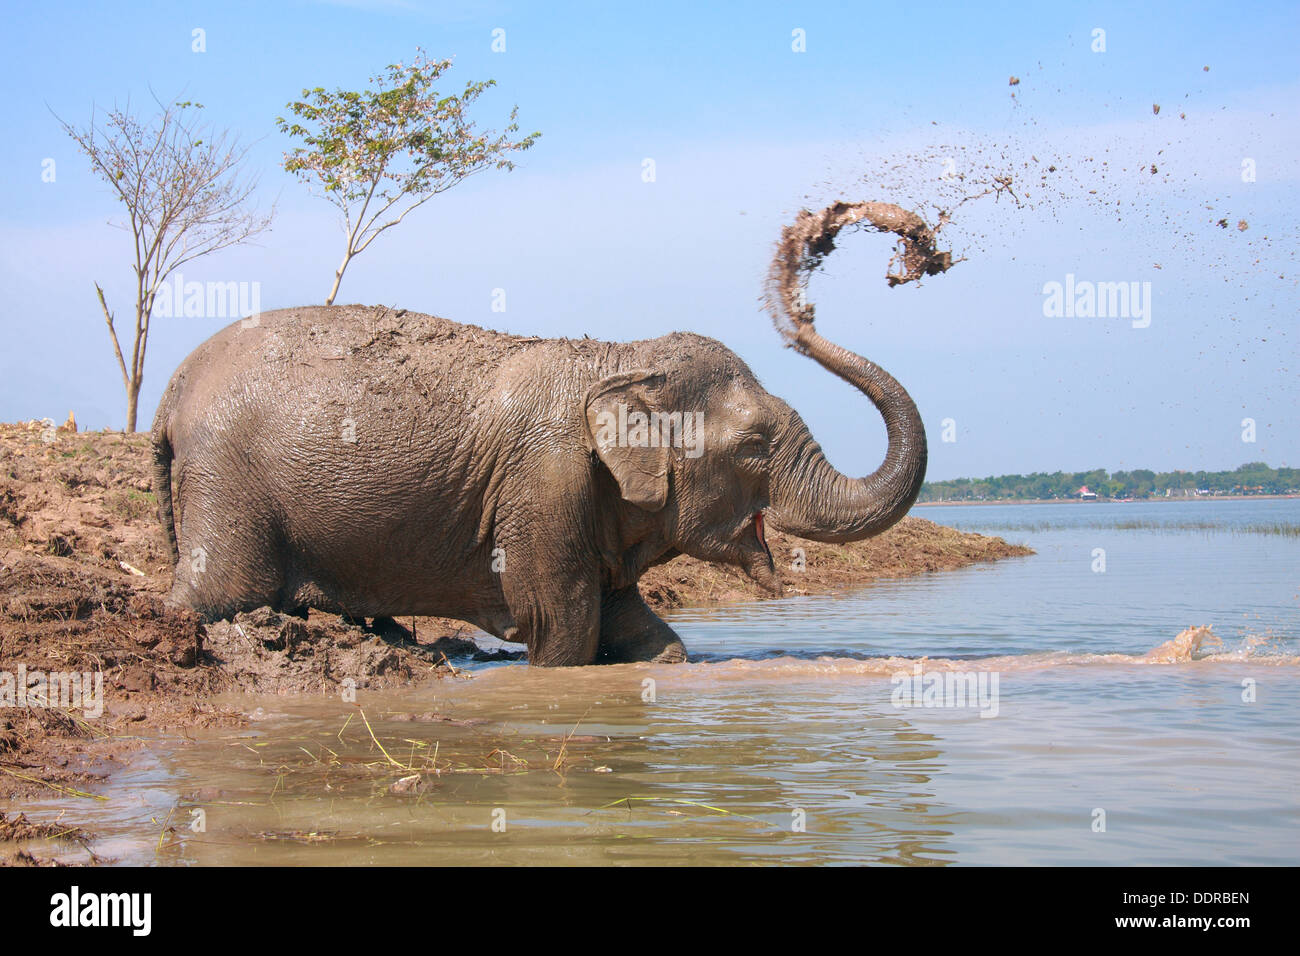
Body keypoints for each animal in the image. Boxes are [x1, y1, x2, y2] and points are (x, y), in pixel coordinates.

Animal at [151, 303, 926, 665]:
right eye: (756, 446)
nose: (801, 318)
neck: (619, 358)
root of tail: (169, 393)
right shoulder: (545, 481)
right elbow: (563, 625)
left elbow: (636, 628)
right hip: (227, 478)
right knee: (220, 592)